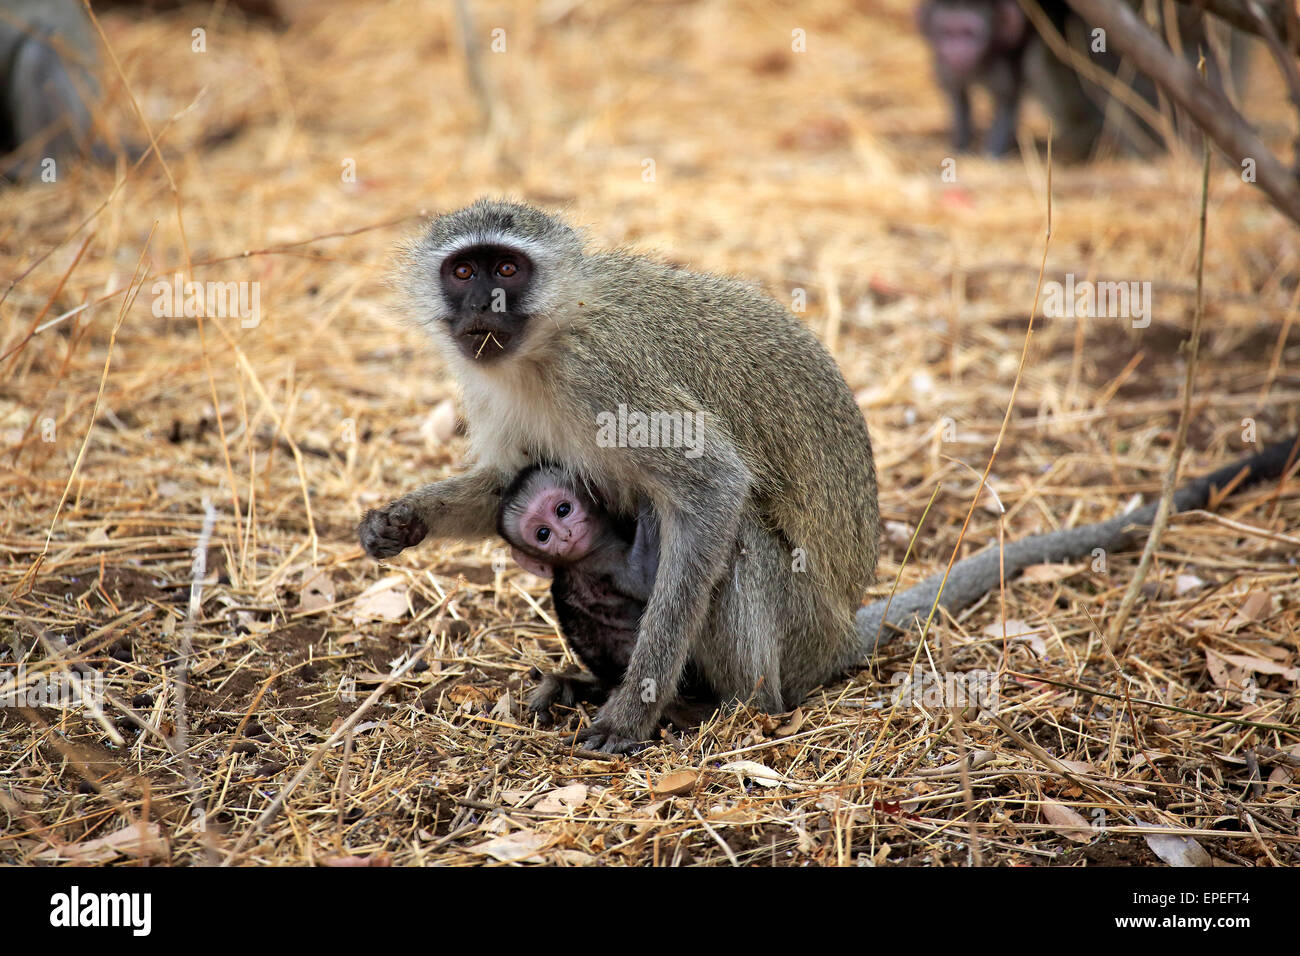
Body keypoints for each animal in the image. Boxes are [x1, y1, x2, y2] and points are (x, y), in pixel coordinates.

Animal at [360, 198, 882, 753]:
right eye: (463, 272)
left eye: (506, 269)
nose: (483, 303)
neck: (547, 342)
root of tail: (844, 637)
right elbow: (511, 482)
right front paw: (401, 519)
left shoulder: (603, 372)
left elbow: (714, 483)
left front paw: (634, 710)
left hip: (804, 634)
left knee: (738, 534)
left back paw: (738, 710)